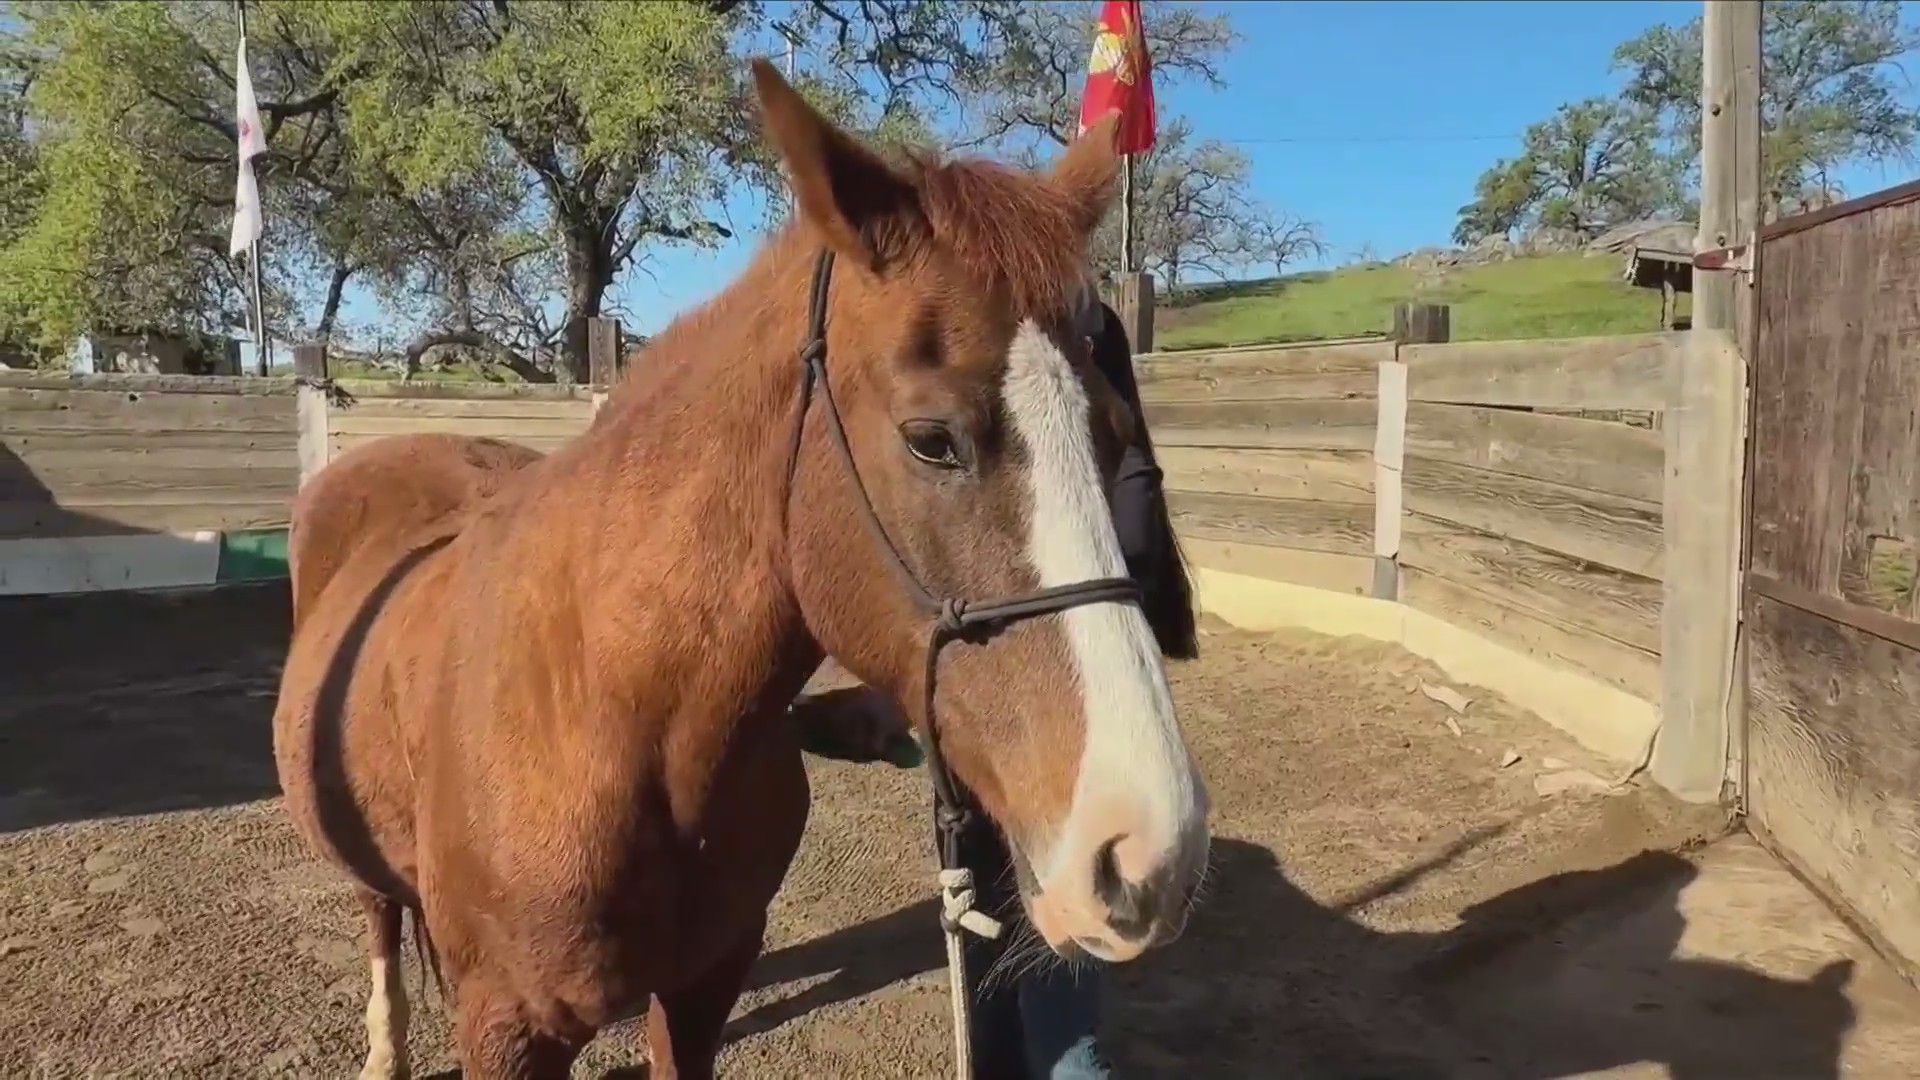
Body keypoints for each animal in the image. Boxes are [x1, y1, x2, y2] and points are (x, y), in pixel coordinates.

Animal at [272, 59, 1211, 1080]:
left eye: (1116, 435)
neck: (609, 714)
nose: (1150, 854)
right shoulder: (505, 1027)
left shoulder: (705, 982)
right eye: (931, 439)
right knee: (376, 911)